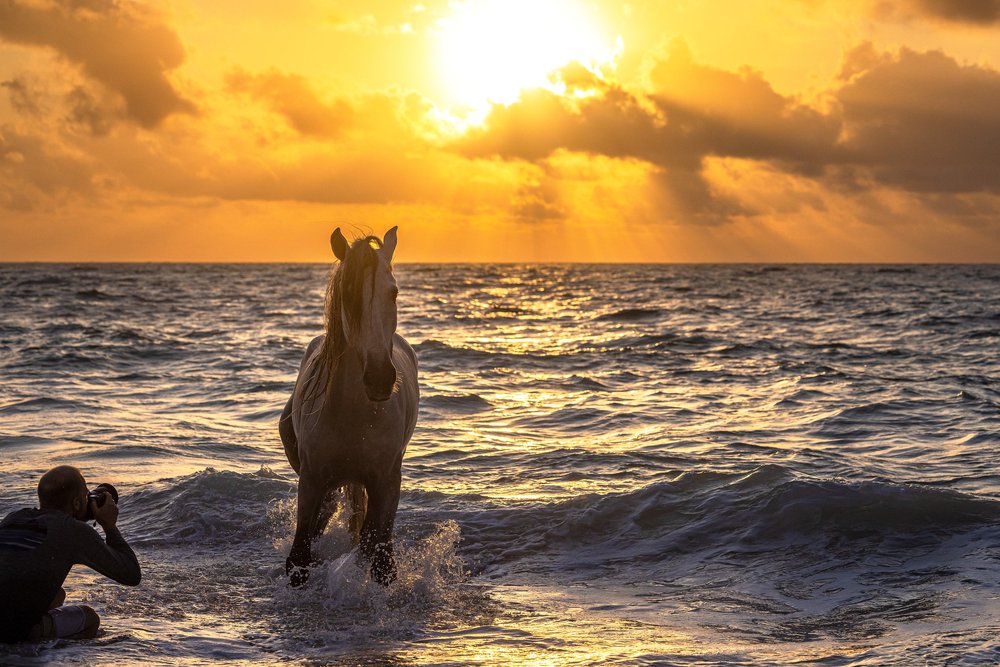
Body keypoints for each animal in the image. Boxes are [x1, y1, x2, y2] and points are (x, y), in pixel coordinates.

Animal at [279, 226, 419, 586]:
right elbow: (300, 557)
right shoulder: (312, 481)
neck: (355, 415)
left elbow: (380, 560)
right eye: (349, 294)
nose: (380, 378)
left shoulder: (386, 482)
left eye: (394, 293)